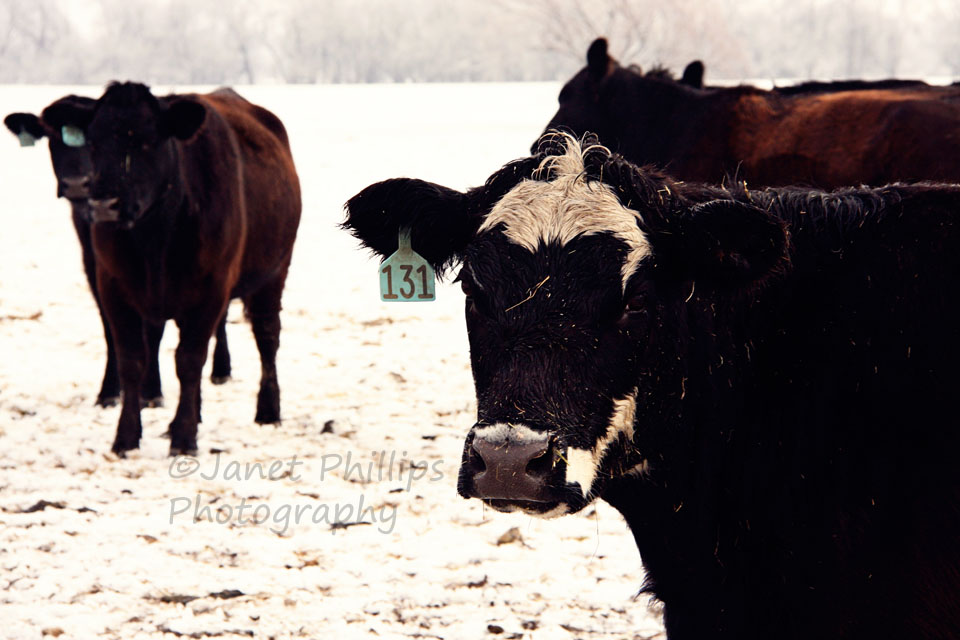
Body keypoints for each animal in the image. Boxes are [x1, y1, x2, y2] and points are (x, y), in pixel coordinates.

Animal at [4, 100, 233, 408]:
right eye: (52, 139)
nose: (77, 183)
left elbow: (153, 328)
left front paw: (151, 390)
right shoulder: (97, 269)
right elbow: (110, 325)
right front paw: (110, 390)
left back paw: (221, 369)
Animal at [41, 83, 301, 455]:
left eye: (147, 141)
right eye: (92, 142)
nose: (104, 204)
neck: (155, 240)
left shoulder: (212, 289)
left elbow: (190, 361)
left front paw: (184, 436)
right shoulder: (114, 287)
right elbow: (132, 360)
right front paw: (126, 436)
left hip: (273, 272)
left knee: (267, 336)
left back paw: (268, 410)